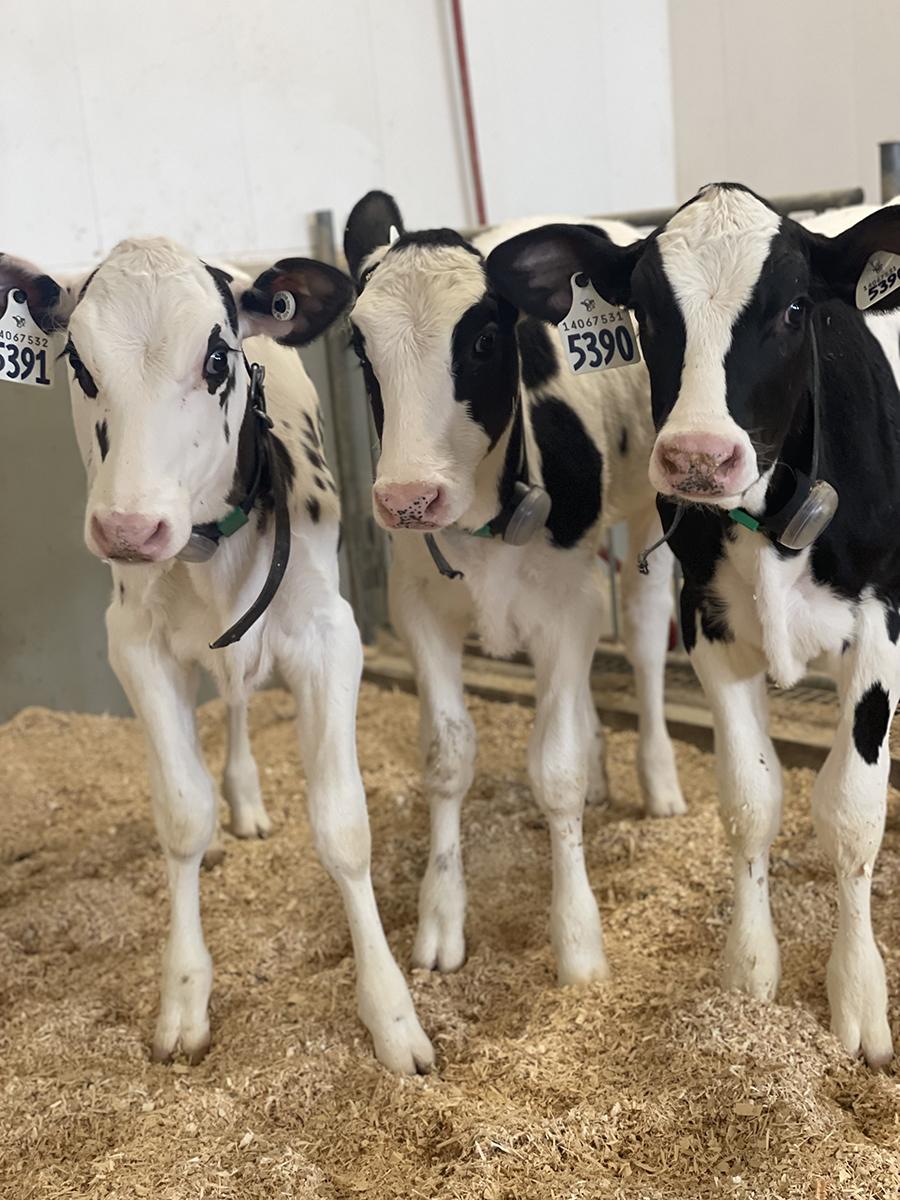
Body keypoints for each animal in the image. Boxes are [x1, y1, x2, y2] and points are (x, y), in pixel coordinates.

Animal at [0, 239, 433, 1074]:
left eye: (215, 360)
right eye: (79, 364)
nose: (128, 529)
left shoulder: (331, 637)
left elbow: (343, 826)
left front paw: (393, 1014)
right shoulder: (133, 645)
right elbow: (182, 815)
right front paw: (183, 997)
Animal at [342, 192, 685, 988]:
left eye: (485, 339)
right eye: (359, 349)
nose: (408, 498)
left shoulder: (567, 603)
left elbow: (552, 771)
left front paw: (578, 938)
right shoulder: (418, 609)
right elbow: (446, 758)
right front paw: (440, 917)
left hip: (646, 513)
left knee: (645, 632)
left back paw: (657, 779)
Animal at [488, 184, 900, 1065]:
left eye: (793, 308)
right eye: (646, 312)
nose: (699, 458)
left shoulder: (882, 623)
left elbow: (851, 814)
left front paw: (857, 996)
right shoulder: (708, 626)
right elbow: (750, 799)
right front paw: (749, 971)